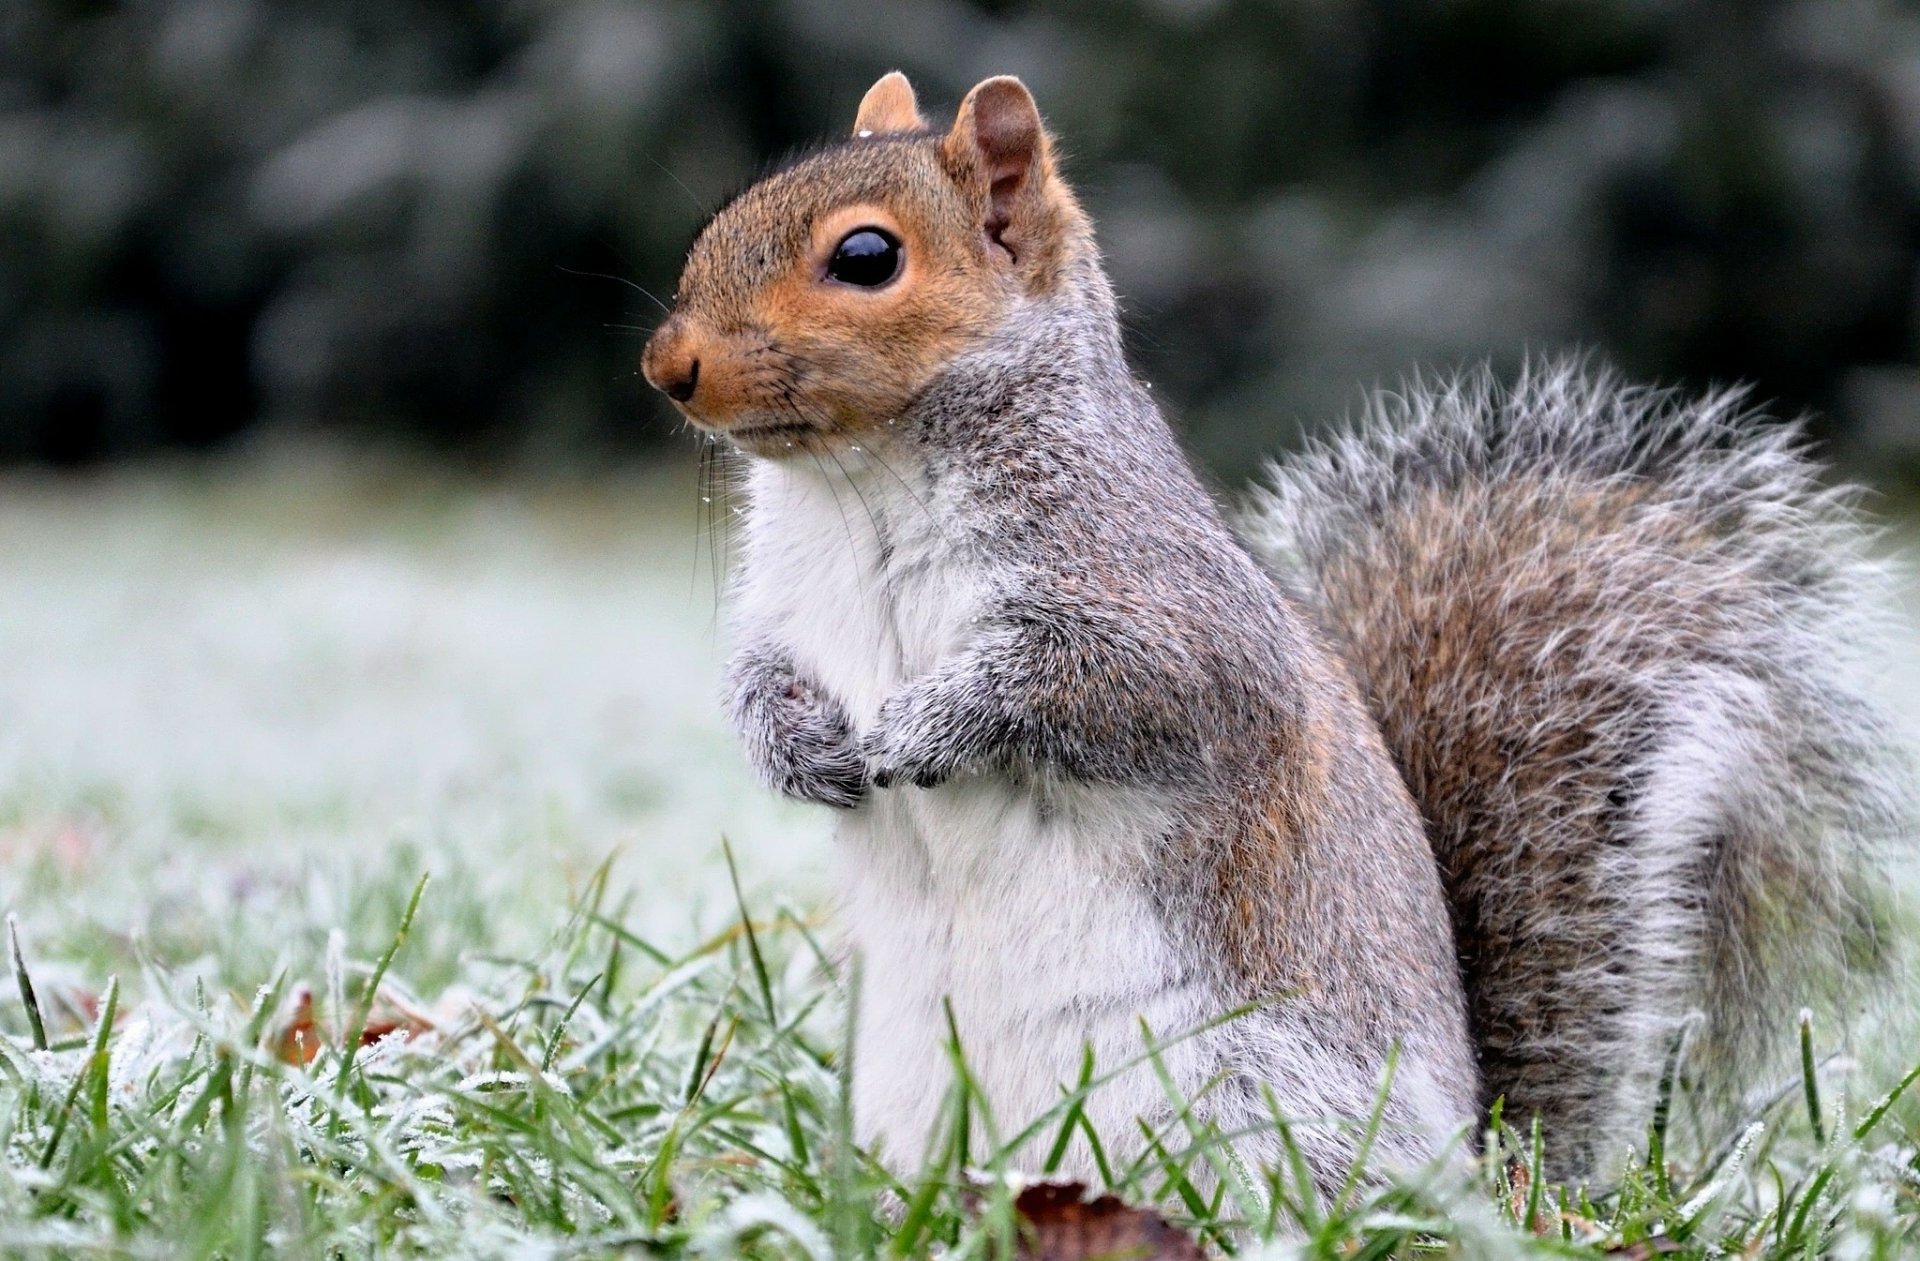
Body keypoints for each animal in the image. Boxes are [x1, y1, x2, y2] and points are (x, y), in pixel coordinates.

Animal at [641, 72, 1911, 1188]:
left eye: (867, 258)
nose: (667, 366)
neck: (862, 481)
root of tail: (1479, 1164)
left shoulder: (1164, 606)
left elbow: (1104, 687)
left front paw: (924, 724)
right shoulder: (786, 608)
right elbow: (755, 674)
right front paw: (796, 746)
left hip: (1243, 1090)